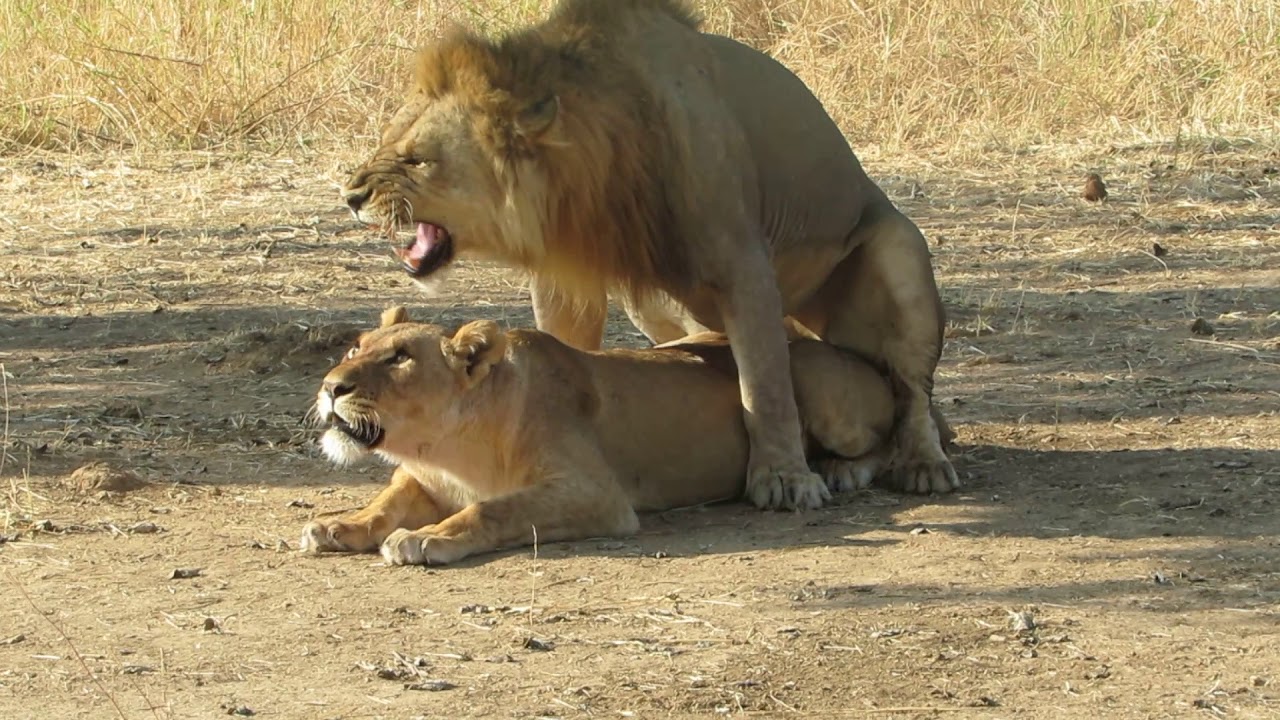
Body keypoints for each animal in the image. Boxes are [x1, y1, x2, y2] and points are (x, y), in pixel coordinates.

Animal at [296, 304, 921, 563]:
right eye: (354, 350)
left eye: (399, 358)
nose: (330, 387)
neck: (447, 450)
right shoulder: (421, 479)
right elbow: (384, 502)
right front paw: (339, 525)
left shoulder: (596, 494)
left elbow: (492, 509)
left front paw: (426, 538)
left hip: (818, 383)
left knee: (897, 432)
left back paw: (841, 472)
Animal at [340, 0, 962, 509]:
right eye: (388, 141)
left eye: (418, 160)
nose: (351, 196)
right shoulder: (567, 273)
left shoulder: (745, 260)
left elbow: (765, 382)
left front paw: (784, 478)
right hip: (656, 304)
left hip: (900, 253)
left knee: (911, 395)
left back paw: (915, 466)